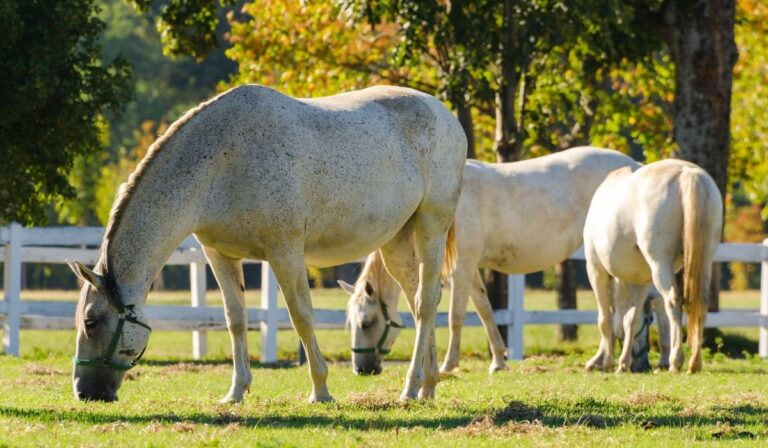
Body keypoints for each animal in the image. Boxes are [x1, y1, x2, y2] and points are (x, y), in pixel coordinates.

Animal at [67, 84, 466, 403]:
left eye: (91, 321)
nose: (85, 392)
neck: (221, 160)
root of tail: (447, 117)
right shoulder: (221, 254)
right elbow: (236, 319)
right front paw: (236, 391)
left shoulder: (284, 252)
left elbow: (301, 317)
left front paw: (320, 390)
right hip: (395, 242)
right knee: (416, 302)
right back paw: (426, 386)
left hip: (431, 226)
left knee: (427, 303)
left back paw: (410, 386)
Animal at [343, 146, 639, 375]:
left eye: (366, 322)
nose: (361, 369)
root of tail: (634, 165)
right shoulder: (470, 269)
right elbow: (485, 311)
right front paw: (498, 360)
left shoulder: (460, 267)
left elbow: (456, 316)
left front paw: (449, 365)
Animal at [583, 159, 722, 374]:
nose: (641, 366)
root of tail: (687, 173)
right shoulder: (643, 280)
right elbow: (631, 320)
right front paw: (622, 363)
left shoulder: (596, 271)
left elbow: (606, 319)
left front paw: (607, 362)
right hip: (704, 262)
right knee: (700, 303)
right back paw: (694, 363)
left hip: (659, 265)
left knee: (673, 301)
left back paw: (675, 362)